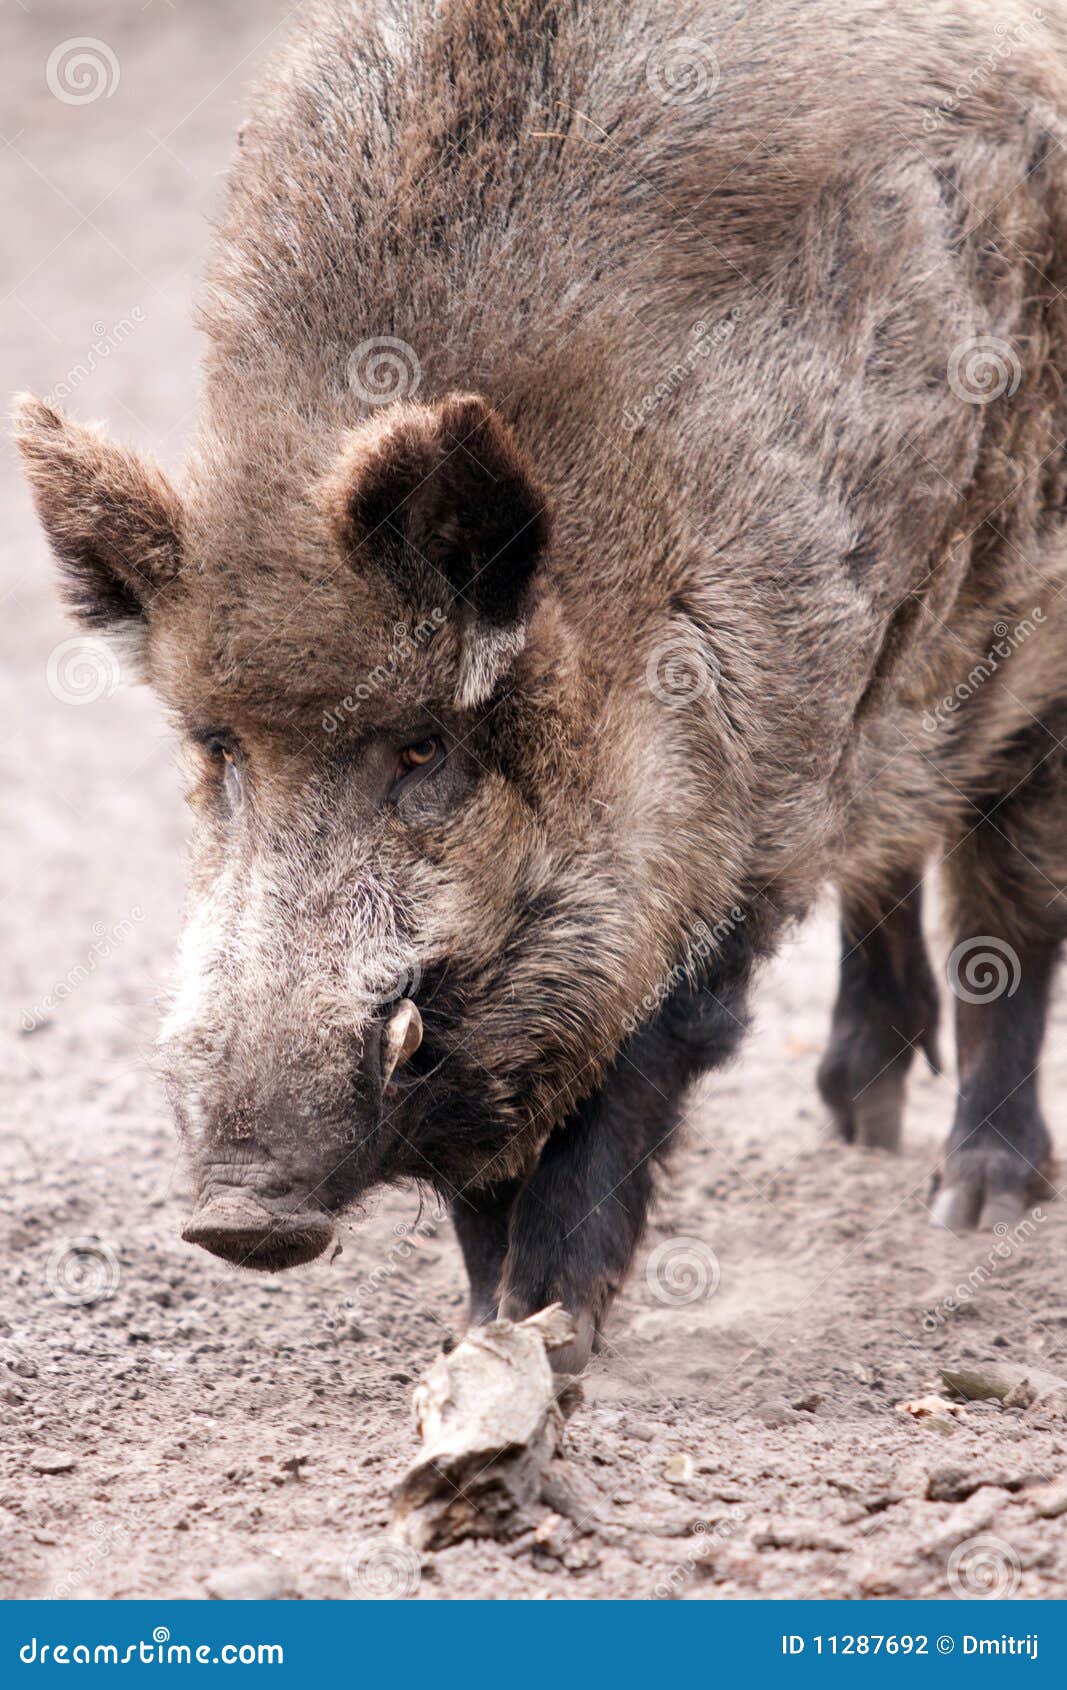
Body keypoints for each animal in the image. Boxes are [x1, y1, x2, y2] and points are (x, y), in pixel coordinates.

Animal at [15, 0, 1067, 1371]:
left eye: (426, 745)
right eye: (220, 747)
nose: (239, 1213)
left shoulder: (724, 810)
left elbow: (629, 1069)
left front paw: (552, 1334)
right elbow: (483, 1153)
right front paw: (481, 1329)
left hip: (1029, 636)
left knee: (1005, 894)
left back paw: (971, 1203)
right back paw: (855, 1121)